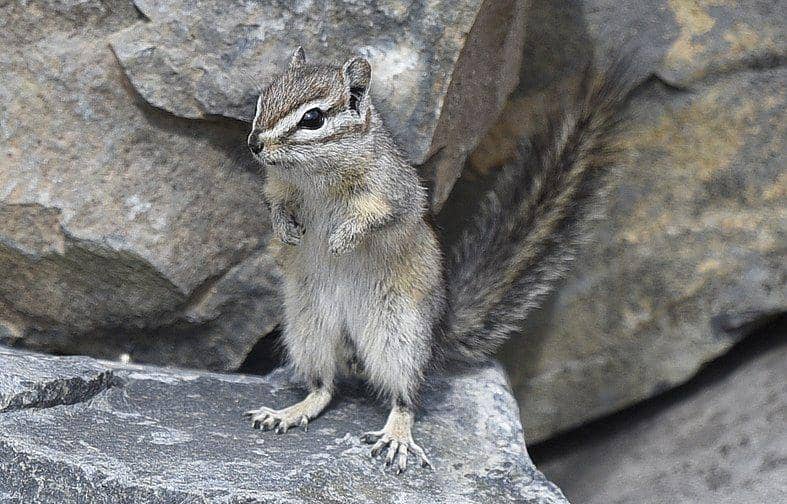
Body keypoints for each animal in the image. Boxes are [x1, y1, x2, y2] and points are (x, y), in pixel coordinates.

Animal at [243, 46, 632, 473]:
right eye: (262, 99)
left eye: (312, 118)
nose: (254, 144)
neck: (314, 175)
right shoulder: (278, 187)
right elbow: (274, 205)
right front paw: (285, 230)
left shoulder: (394, 191)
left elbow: (379, 217)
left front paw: (343, 239)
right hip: (308, 327)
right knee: (324, 387)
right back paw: (290, 411)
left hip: (399, 334)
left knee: (406, 395)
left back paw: (396, 435)